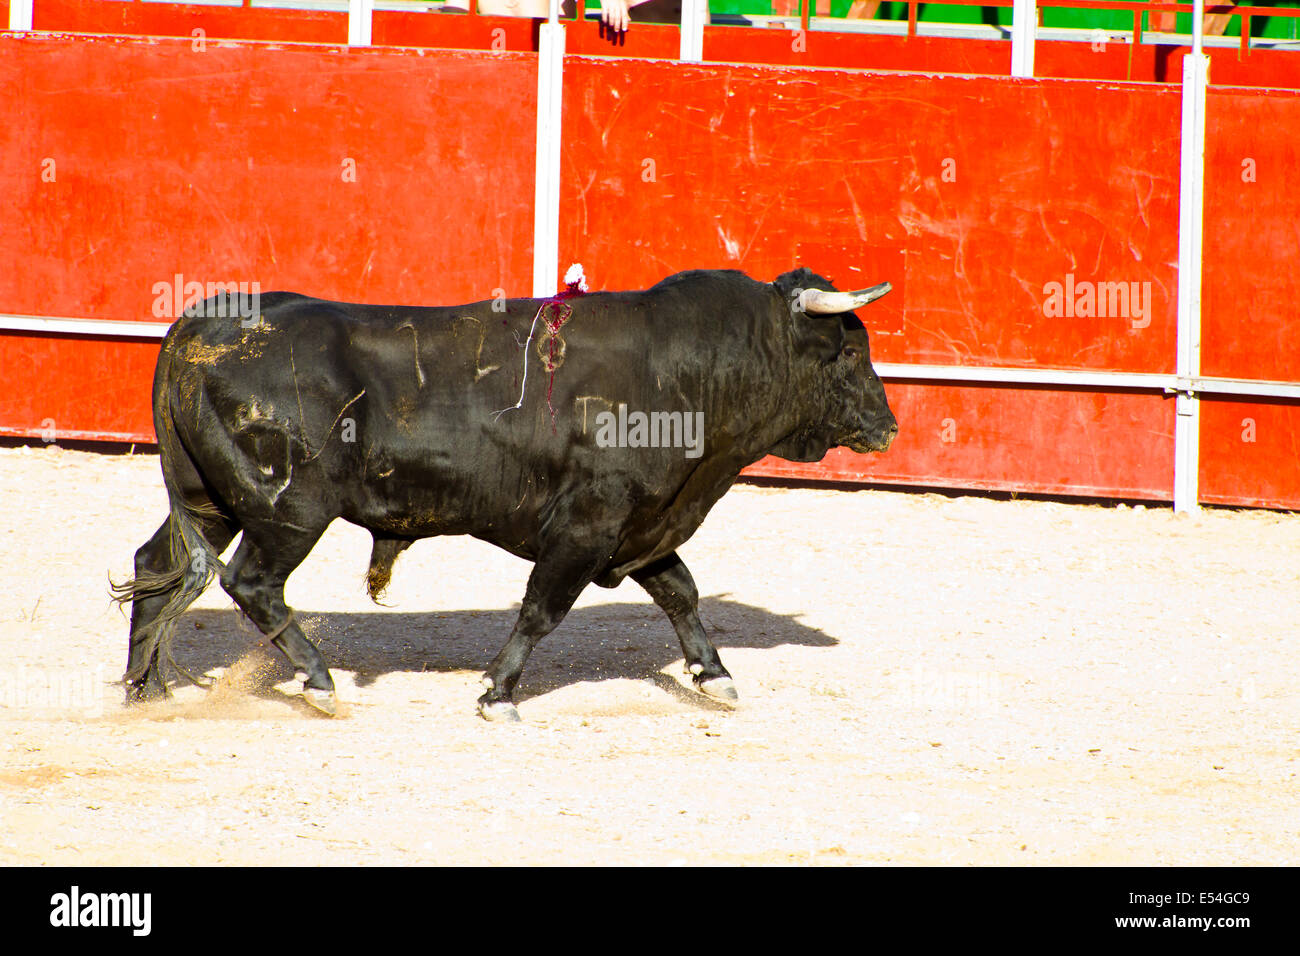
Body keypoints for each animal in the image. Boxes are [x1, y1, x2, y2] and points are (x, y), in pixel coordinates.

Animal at [112, 267, 897, 721]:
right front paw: (498, 694)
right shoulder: (587, 526)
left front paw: (715, 676)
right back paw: (318, 682)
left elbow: (682, 594)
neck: (689, 370)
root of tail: (199, 324)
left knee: (158, 567)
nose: (888, 427)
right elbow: (542, 609)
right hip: (289, 511)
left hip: (209, 502)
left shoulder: (641, 523)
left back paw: (144, 690)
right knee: (253, 583)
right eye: (848, 350)